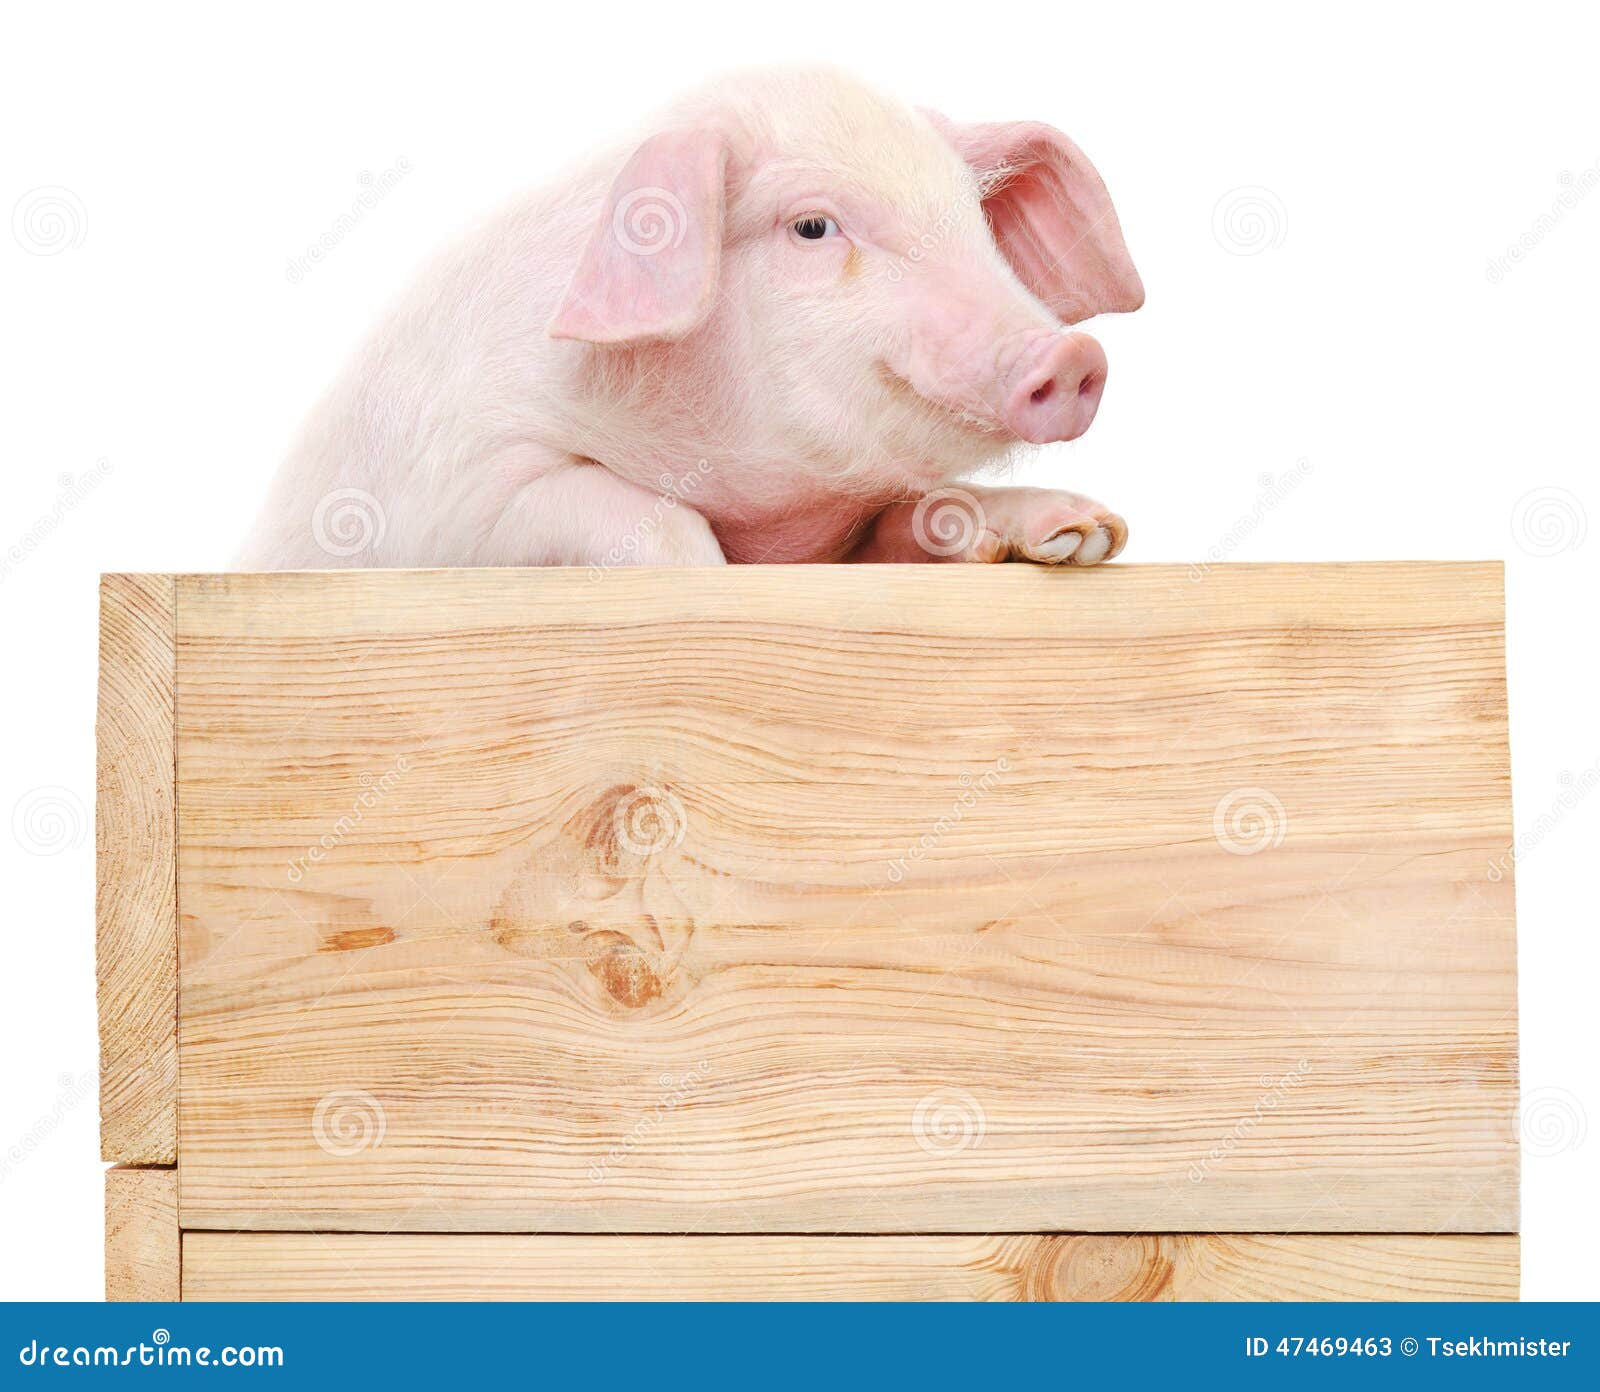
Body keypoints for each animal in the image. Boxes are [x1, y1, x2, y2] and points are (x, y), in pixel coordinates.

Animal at [238, 68, 1143, 571]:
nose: (1069, 354)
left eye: (973, 220)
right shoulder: (453, 500)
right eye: (812, 227)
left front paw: (1082, 536)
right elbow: (649, 519)